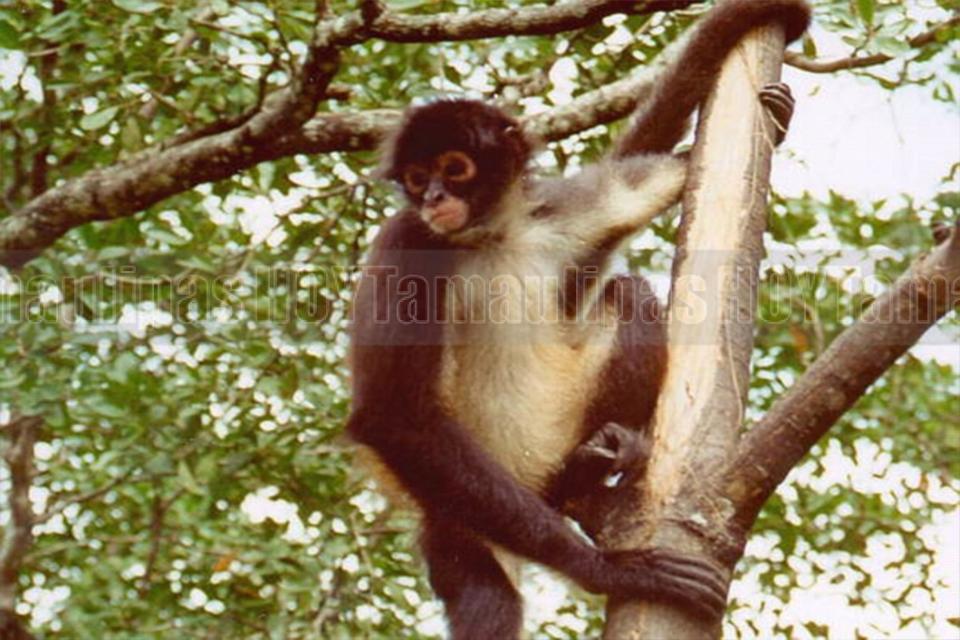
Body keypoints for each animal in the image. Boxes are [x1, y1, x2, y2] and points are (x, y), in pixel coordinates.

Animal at [346, 1, 811, 638]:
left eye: (454, 167)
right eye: (417, 180)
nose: (435, 197)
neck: (489, 236)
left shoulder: (551, 216)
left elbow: (644, 182)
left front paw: (776, 117)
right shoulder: (409, 241)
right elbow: (391, 416)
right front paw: (611, 572)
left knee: (626, 291)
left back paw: (594, 463)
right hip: (457, 510)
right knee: (490, 601)